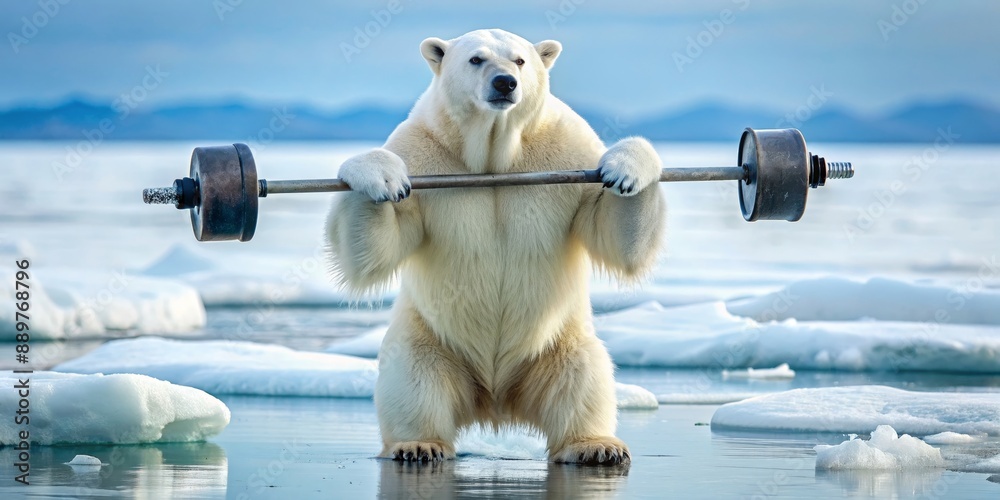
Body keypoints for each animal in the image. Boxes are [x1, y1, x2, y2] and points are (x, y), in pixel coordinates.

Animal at [326, 29, 666, 465]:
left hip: (558, 342)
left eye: (519, 60)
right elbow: (373, 250)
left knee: (584, 378)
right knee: (412, 382)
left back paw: (595, 446)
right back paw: (418, 444)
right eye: (476, 59)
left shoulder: (567, 155)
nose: (505, 83)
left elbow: (615, 233)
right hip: (430, 340)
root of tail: (496, 400)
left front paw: (625, 169)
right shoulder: (422, 157)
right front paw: (379, 176)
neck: (494, 158)